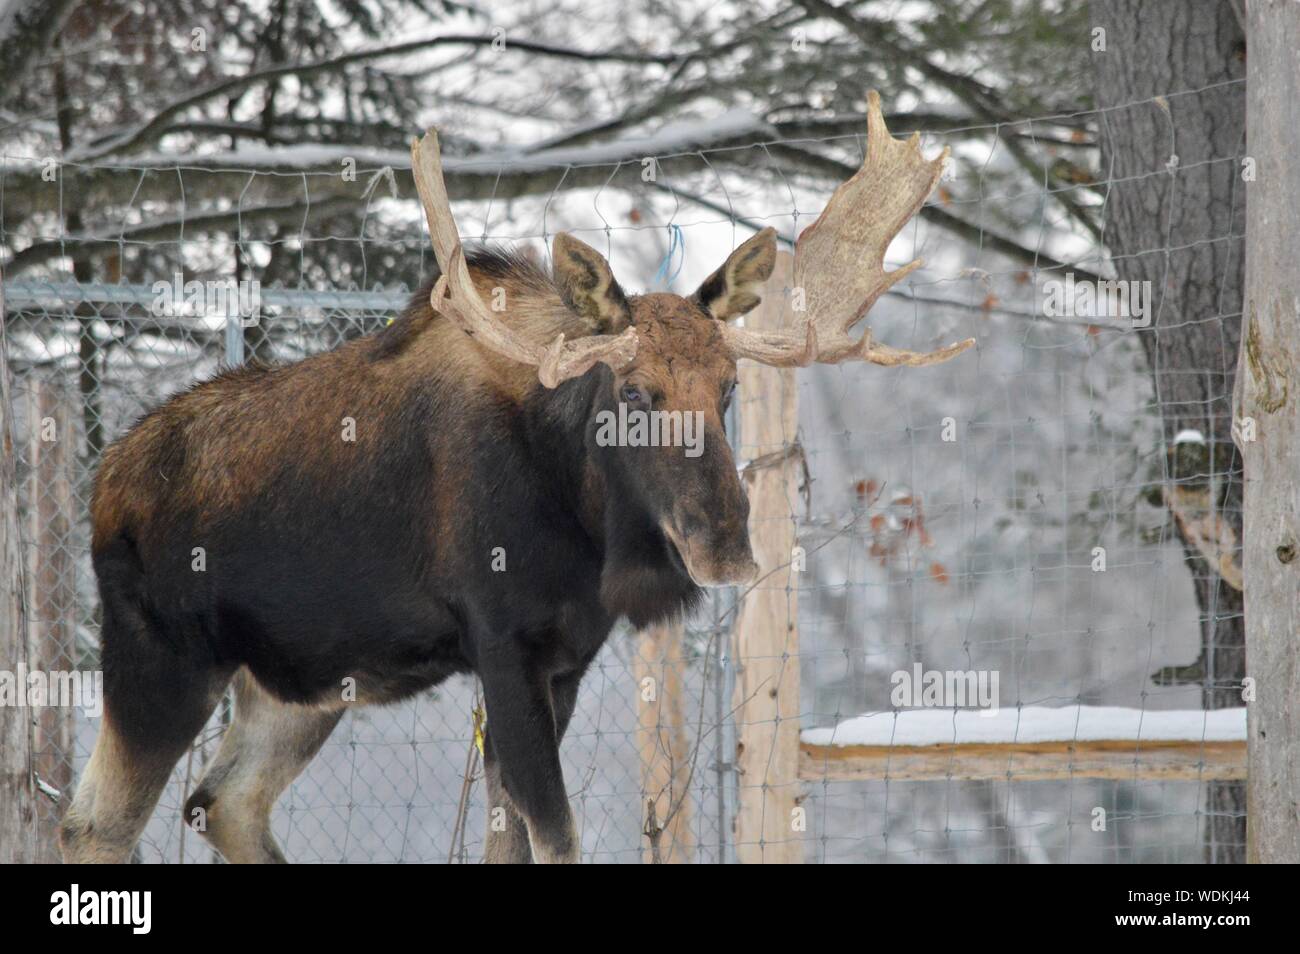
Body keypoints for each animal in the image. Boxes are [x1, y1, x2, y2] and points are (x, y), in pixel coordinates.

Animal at [61, 93, 973, 864]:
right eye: (633, 393)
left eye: (728, 389)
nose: (727, 545)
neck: (582, 518)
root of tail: (102, 488)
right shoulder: (502, 646)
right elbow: (557, 837)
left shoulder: (566, 660)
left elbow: (513, 841)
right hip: (161, 659)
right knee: (95, 823)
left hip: (295, 685)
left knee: (223, 803)